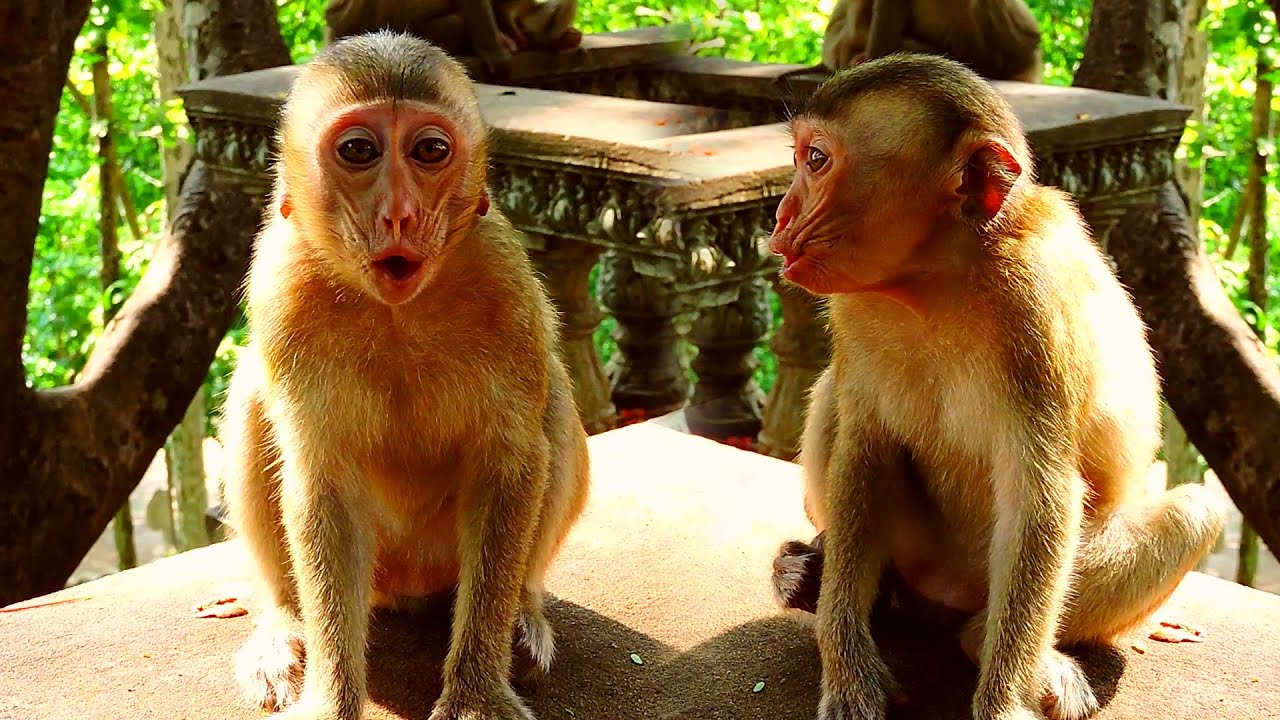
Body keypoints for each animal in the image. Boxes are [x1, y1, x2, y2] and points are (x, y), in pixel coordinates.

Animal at [220, 31, 590, 720]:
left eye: (429, 151)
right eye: (359, 151)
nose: (398, 215)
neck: (396, 308)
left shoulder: (505, 279)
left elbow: (510, 459)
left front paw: (477, 695)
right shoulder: (281, 287)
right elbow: (325, 481)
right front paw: (332, 699)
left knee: (550, 396)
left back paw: (523, 610)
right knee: (254, 396)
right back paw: (282, 621)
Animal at [766, 55, 1227, 720]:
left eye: (818, 160)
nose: (780, 215)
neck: (935, 282)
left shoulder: (1035, 307)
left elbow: (1039, 499)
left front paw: (1004, 700)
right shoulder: (854, 307)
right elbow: (866, 456)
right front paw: (847, 667)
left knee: (1195, 511)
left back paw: (1000, 647)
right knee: (834, 392)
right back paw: (825, 581)